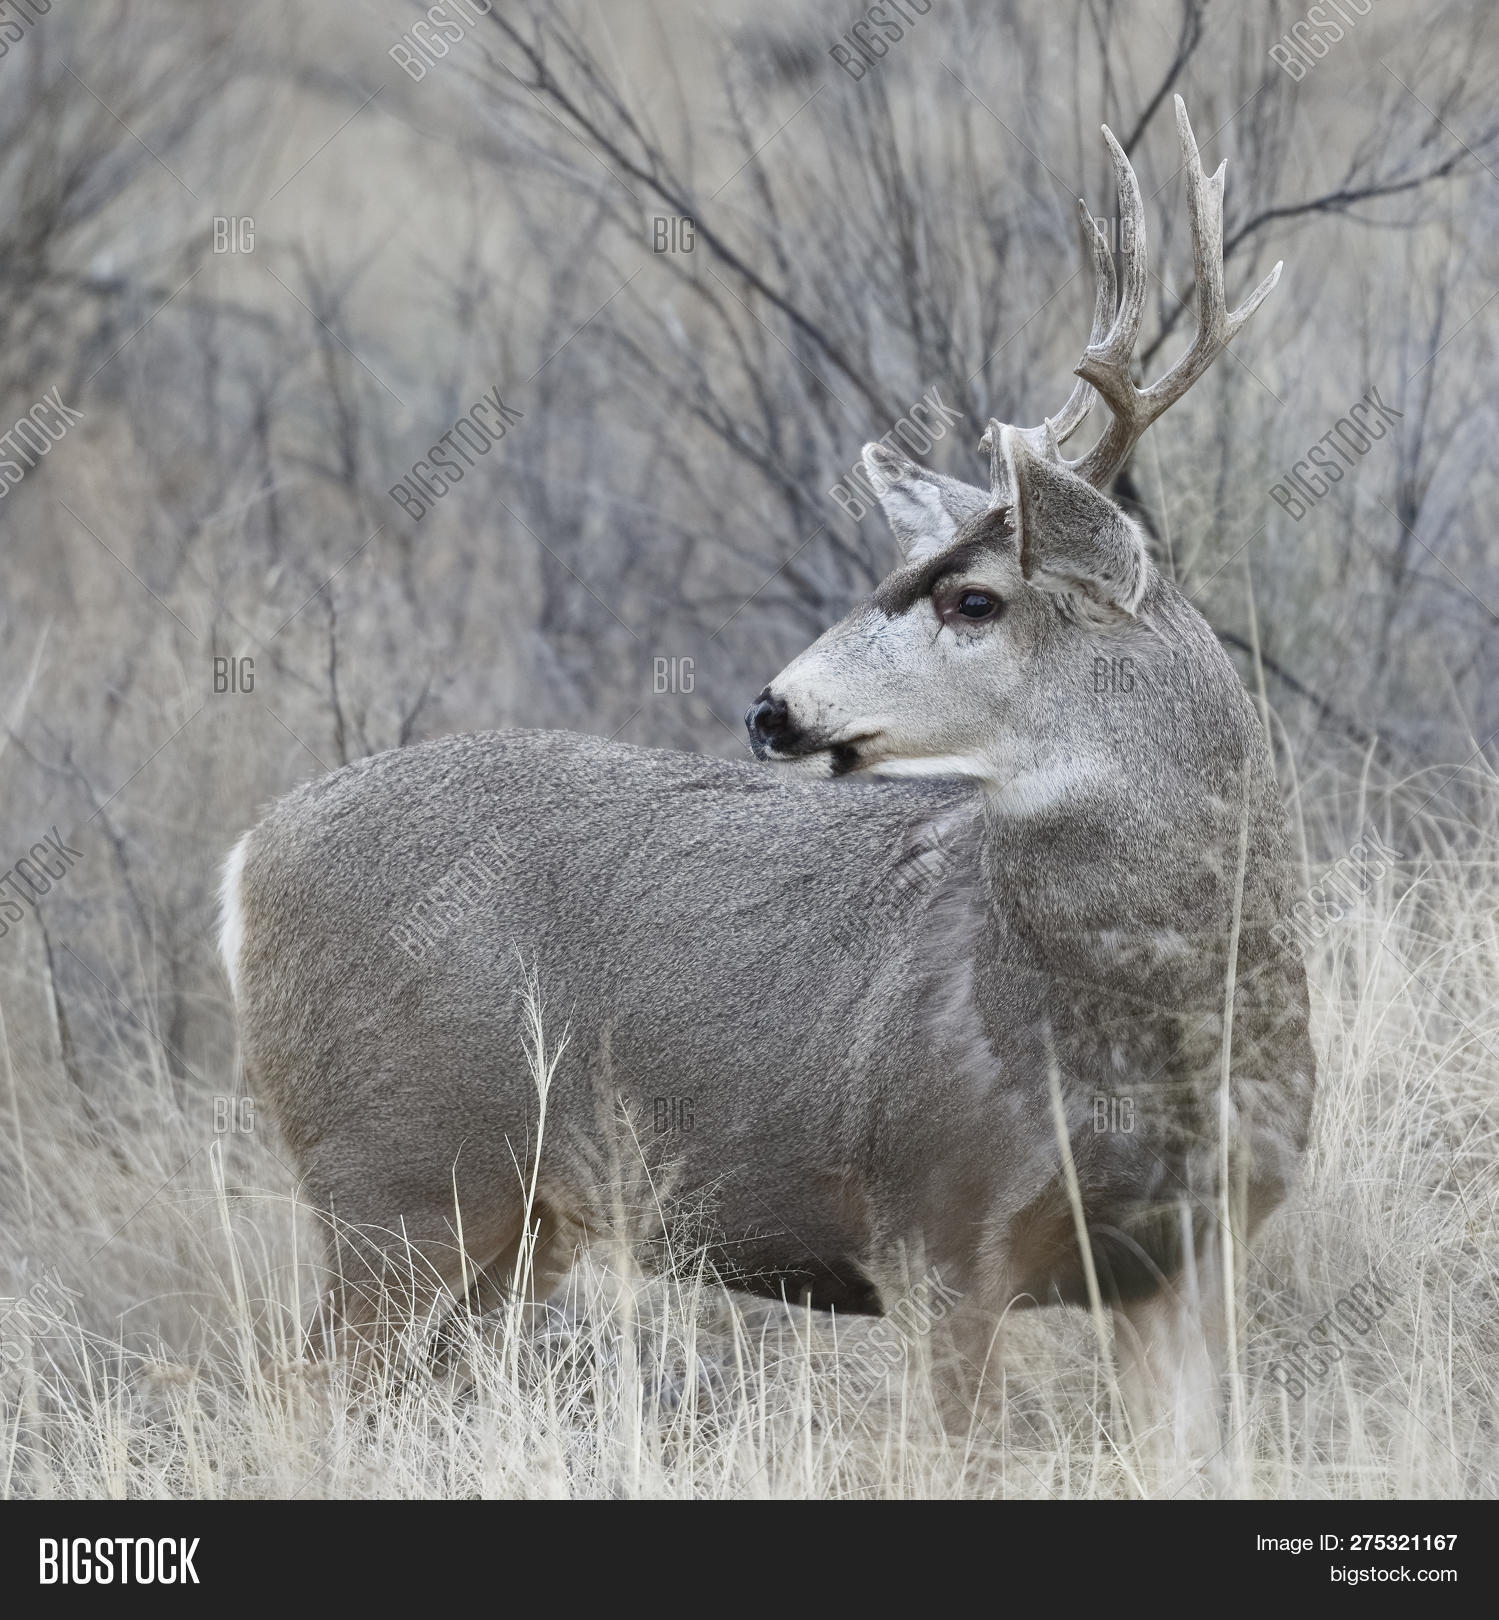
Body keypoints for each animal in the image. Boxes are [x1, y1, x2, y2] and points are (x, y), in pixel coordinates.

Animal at [220, 98, 1313, 1466]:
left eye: (971, 598)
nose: (770, 709)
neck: (1150, 1026)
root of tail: (245, 864)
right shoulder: (935, 1223)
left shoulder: (1200, 1253)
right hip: (395, 1171)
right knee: (292, 1393)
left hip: (513, 1221)